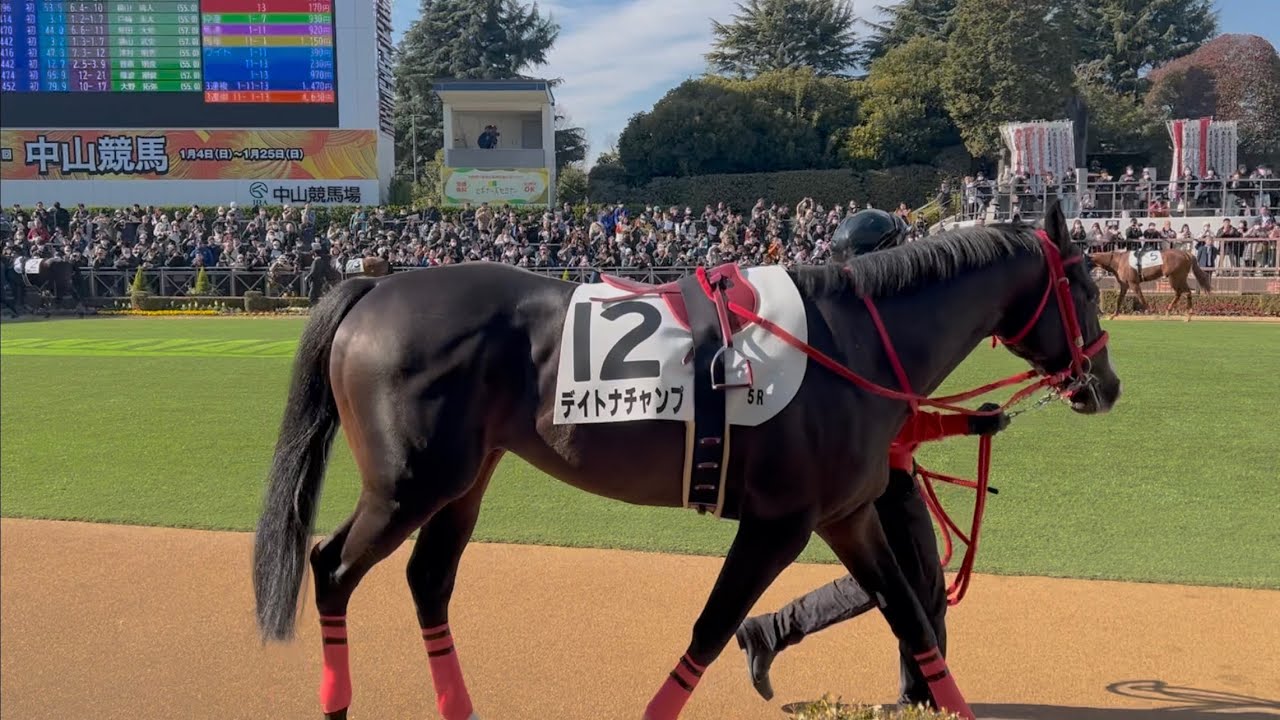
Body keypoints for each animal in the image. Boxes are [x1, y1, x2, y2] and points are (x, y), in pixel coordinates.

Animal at [251, 201, 1120, 720]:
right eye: (1084, 283)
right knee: (330, 567)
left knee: (428, 581)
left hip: (468, 476)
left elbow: (909, 613)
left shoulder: (847, 516)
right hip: (409, 483)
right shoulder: (779, 523)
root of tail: (373, 288)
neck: (851, 344)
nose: (1106, 384)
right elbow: (711, 627)